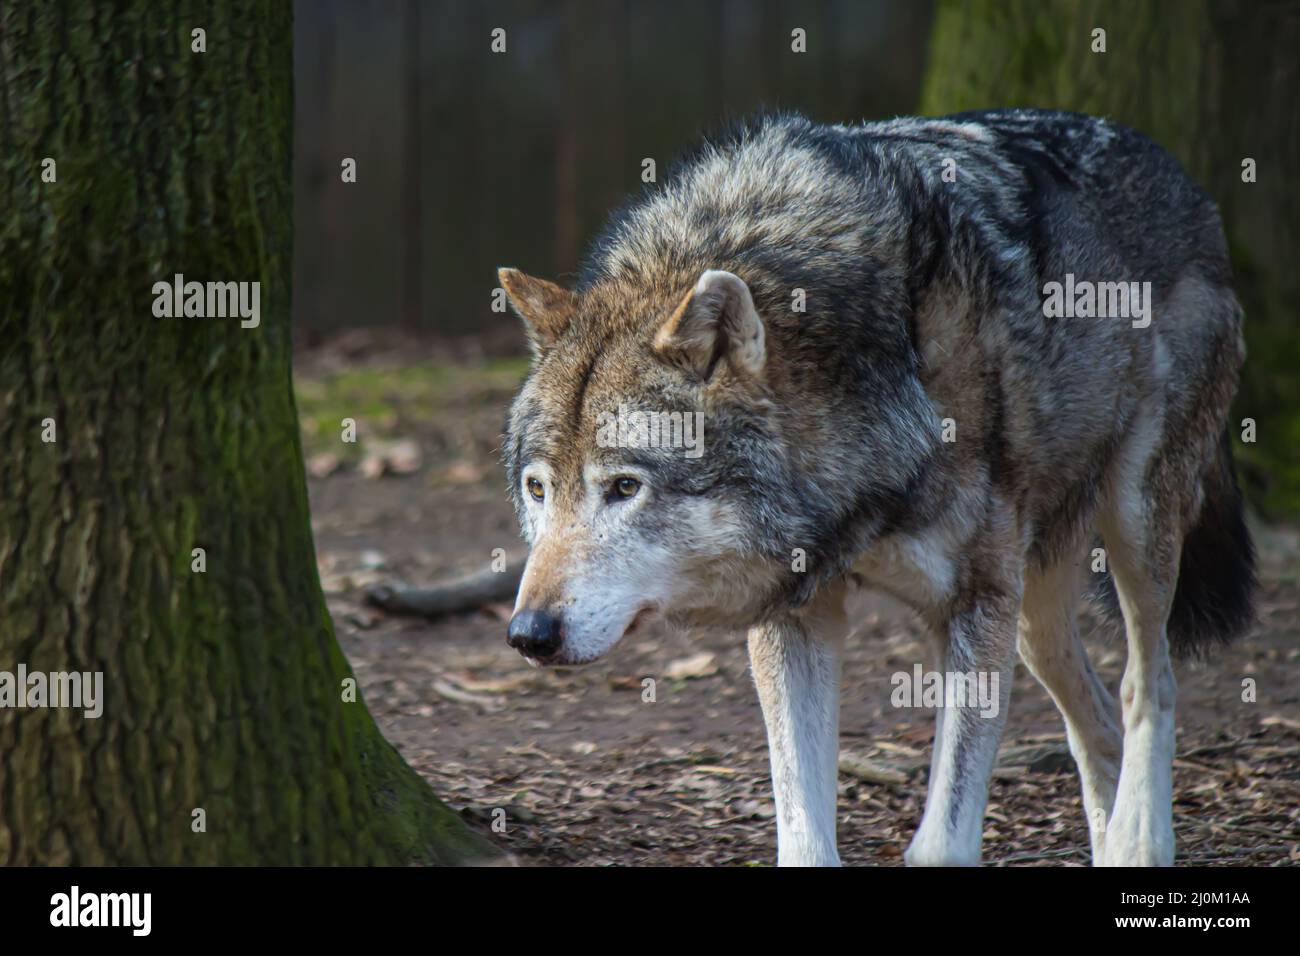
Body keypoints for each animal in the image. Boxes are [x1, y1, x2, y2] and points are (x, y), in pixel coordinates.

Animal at [497, 109, 1255, 867]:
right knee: (1095, 720)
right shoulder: (796, 616)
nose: (528, 633)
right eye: (538, 490)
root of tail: (1181, 174)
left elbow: (941, 842)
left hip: (1131, 525)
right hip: (1033, 616)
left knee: (1148, 684)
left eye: (625, 487)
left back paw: (1141, 836)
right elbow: (803, 836)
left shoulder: (976, 604)